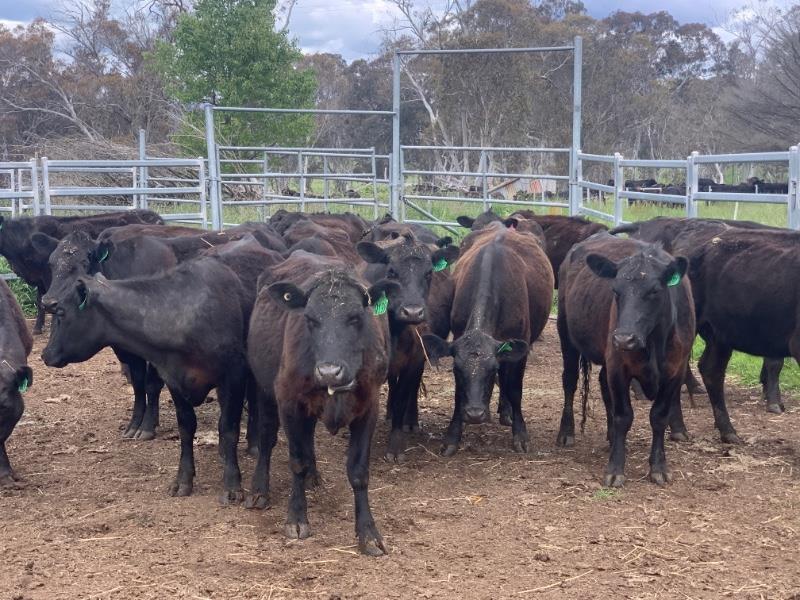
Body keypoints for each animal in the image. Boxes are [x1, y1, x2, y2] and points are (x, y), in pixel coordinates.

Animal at [42, 257, 252, 503]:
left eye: (61, 313)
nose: (44, 354)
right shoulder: (173, 379)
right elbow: (186, 427)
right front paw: (183, 480)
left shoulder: (234, 375)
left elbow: (229, 427)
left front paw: (232, 485)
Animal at [247, 251, 397, 555]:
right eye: (310, 319)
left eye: (355, 317)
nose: (329, 371)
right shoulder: (288, 401)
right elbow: (296, 461)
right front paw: (296, 518)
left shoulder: (369, 406)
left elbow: (358, 472)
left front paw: (368, 533)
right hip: (264, 390)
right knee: (267, 438)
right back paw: (259, 490)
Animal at [356, 231, 459, 461]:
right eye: (392, 271)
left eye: (429, 273)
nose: (412, 312)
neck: (395, 330)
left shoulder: (413, 361)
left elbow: (403, 395)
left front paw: (395, 446)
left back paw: (409, 421)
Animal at [421, 222, 553, 455]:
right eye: (456, 370)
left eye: (492, 369)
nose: (475, 414)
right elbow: (458, 394)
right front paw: (452, 436)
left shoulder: (519, 349)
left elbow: (515, 390)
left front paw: (520, 435)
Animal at [556, 232, 695, 486]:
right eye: (616, 291)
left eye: (654, 291)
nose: (623, 339)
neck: (654, 343)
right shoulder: (619, 367)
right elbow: (623, 416)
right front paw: (615, 468)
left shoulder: (675, 370)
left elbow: (659, 416)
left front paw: (658, 467)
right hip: (567, 336)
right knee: (569, 381)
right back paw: (566, 432)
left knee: (602, 385)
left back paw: (611, 436)